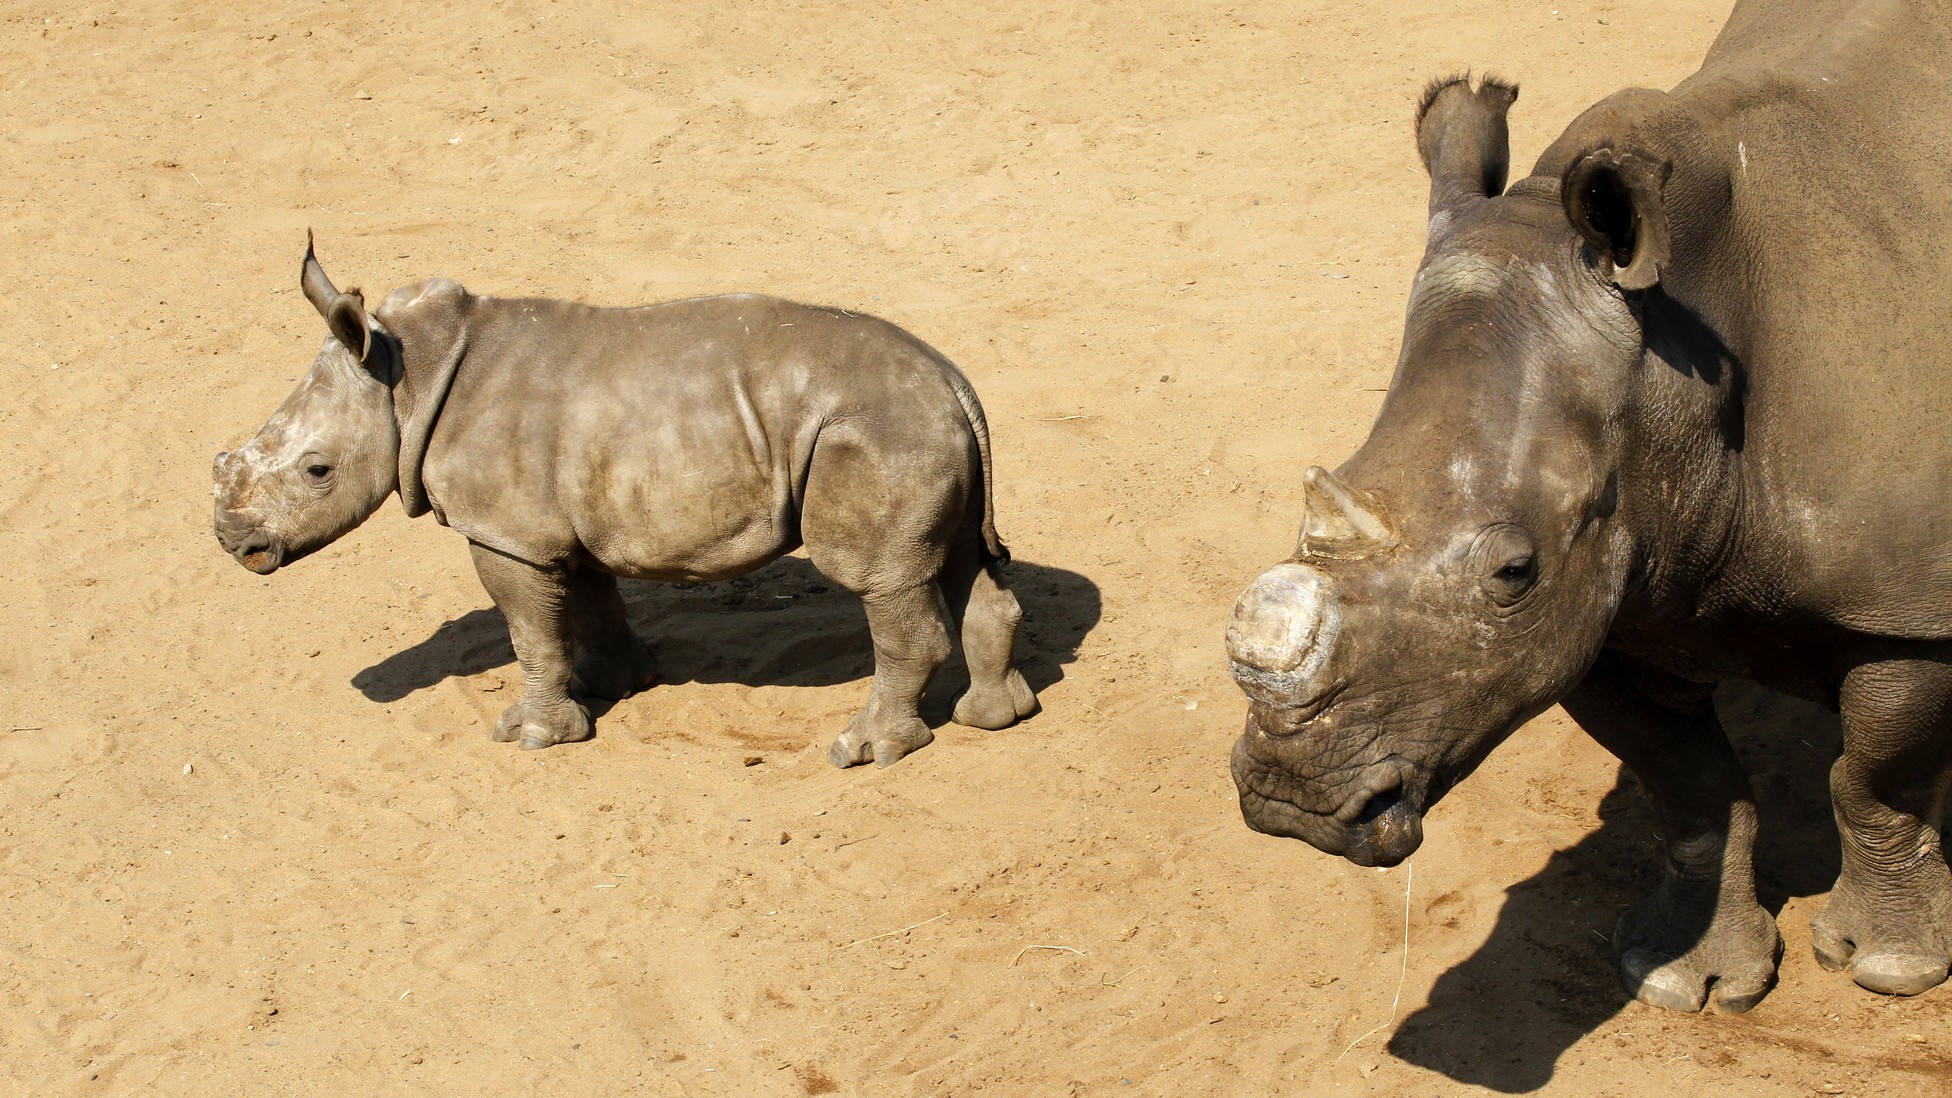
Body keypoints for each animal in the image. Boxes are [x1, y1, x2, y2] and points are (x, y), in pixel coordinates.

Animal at [214, 237, 1037, 768]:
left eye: (318, 471)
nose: (234, 543)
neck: (406, 376)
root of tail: (955, 383)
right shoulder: (560, 521)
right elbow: (587, 605)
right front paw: (616, 684)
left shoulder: (507, 532)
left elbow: (529, 630)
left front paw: (532, 736)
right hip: (917, 430)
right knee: (956, 562)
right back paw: (994, 720)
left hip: (874, 433)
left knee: (878, 579)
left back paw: (864, 750)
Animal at [1226, 0, 1952, 1012]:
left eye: (1513, 571)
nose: (1289, 801)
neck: (1675, 378)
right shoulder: (1610, 594)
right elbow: (1690, 789)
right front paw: (1680, 977)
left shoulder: (1906, 603)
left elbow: (1876, 777)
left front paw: (1892, 970)